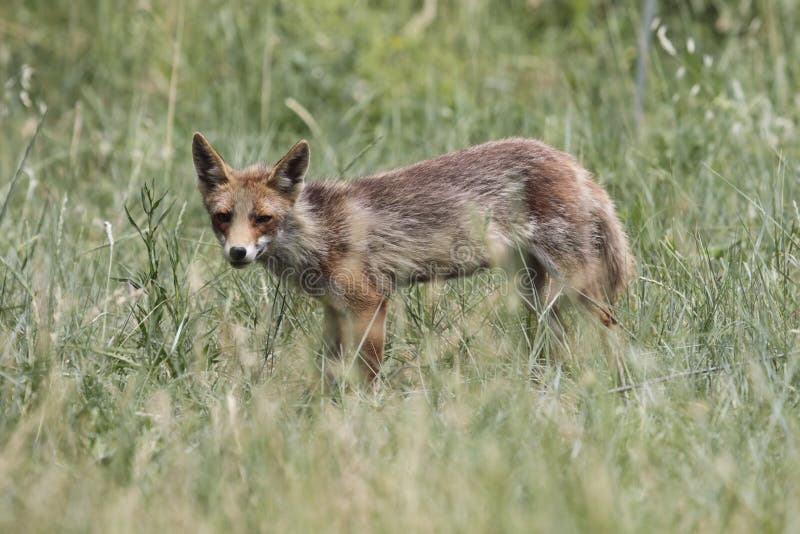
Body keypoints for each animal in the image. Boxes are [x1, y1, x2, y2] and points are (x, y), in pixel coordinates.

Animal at [192, 133, 635, 381]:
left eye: (263, 218)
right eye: (223, 217)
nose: (237, 252)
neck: (319, 232)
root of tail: (571, 163)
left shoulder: (369, 303)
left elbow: (364, 377)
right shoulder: (334, 310)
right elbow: (328, 373)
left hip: (575, 287)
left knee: (614, 330)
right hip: (537, 295)